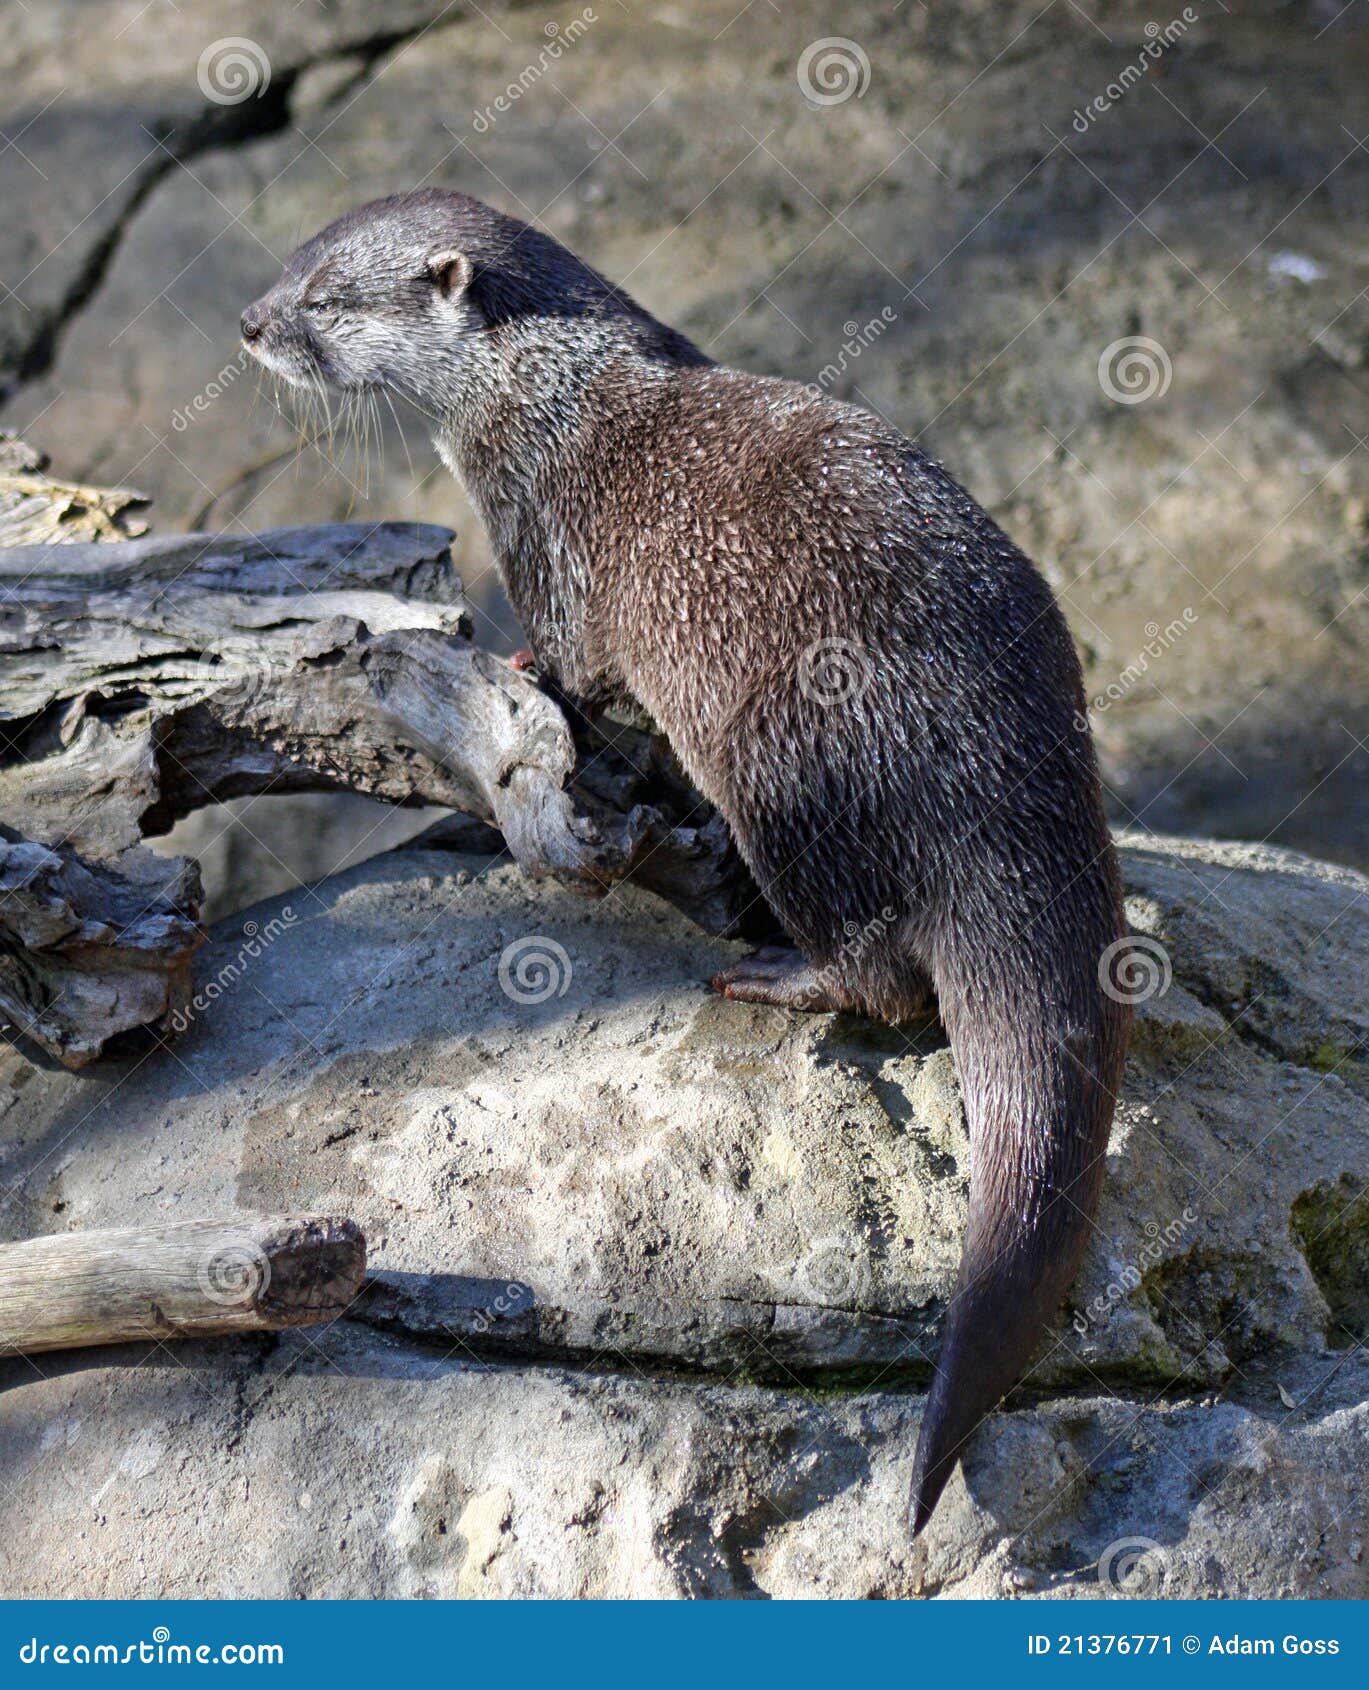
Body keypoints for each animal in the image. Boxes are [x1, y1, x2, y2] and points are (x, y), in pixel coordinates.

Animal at [241, 188, 1131, 1533]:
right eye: (292, 259)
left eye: (329, 298)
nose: (248, 324)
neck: (546, 397)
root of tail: (994, 785)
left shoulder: (546, 540)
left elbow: (569, 661)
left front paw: (522, 674)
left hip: (789, 771)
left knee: (881, 974)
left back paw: (770, 975)